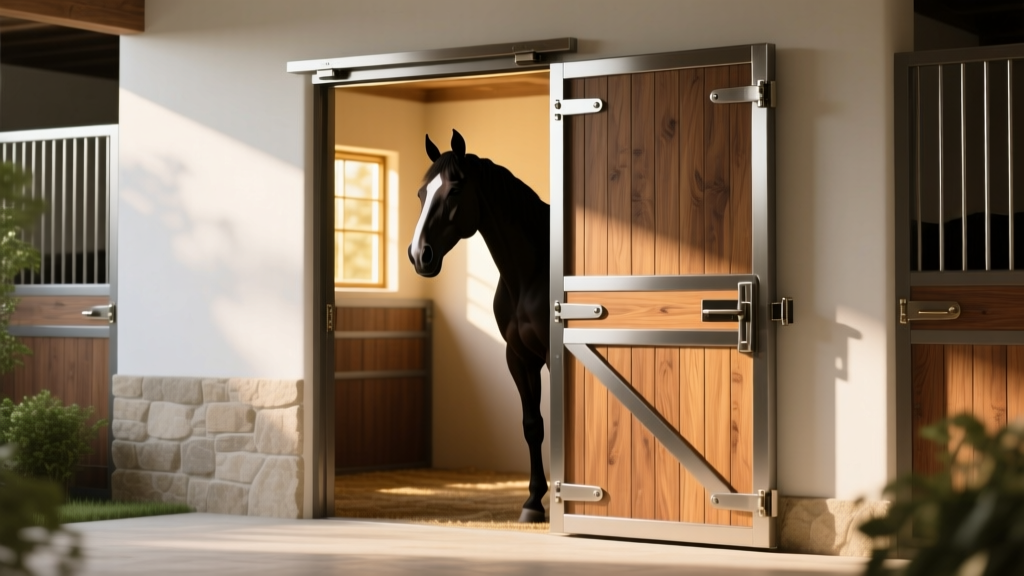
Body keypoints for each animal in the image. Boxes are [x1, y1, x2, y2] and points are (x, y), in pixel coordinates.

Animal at [408, 129, 550, 523]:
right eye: (421, 193)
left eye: (455, 189)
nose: (419, 255)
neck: (531, 274)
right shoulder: (519, 357)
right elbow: (532, 425)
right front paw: (533, 503)